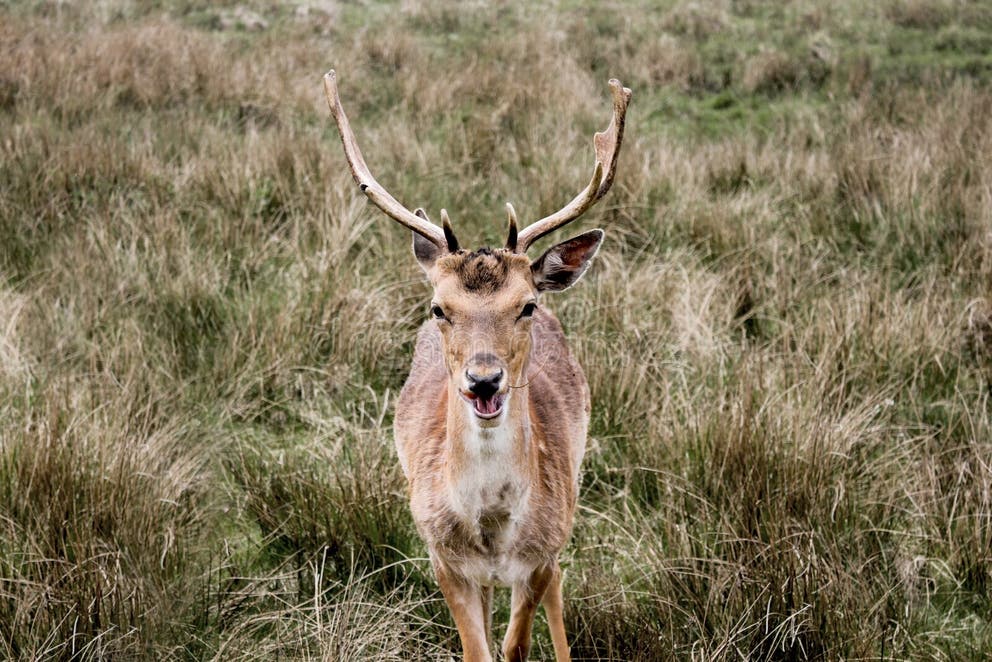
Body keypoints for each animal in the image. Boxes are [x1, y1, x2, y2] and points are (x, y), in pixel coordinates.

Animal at [322, 70, 630, 662]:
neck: (491, 528)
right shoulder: (441, 558)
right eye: (439, 308)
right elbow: (477, 649)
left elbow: (515, 644)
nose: (483, 380)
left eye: (526, 305)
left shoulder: (540, 554)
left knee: (559, 583)